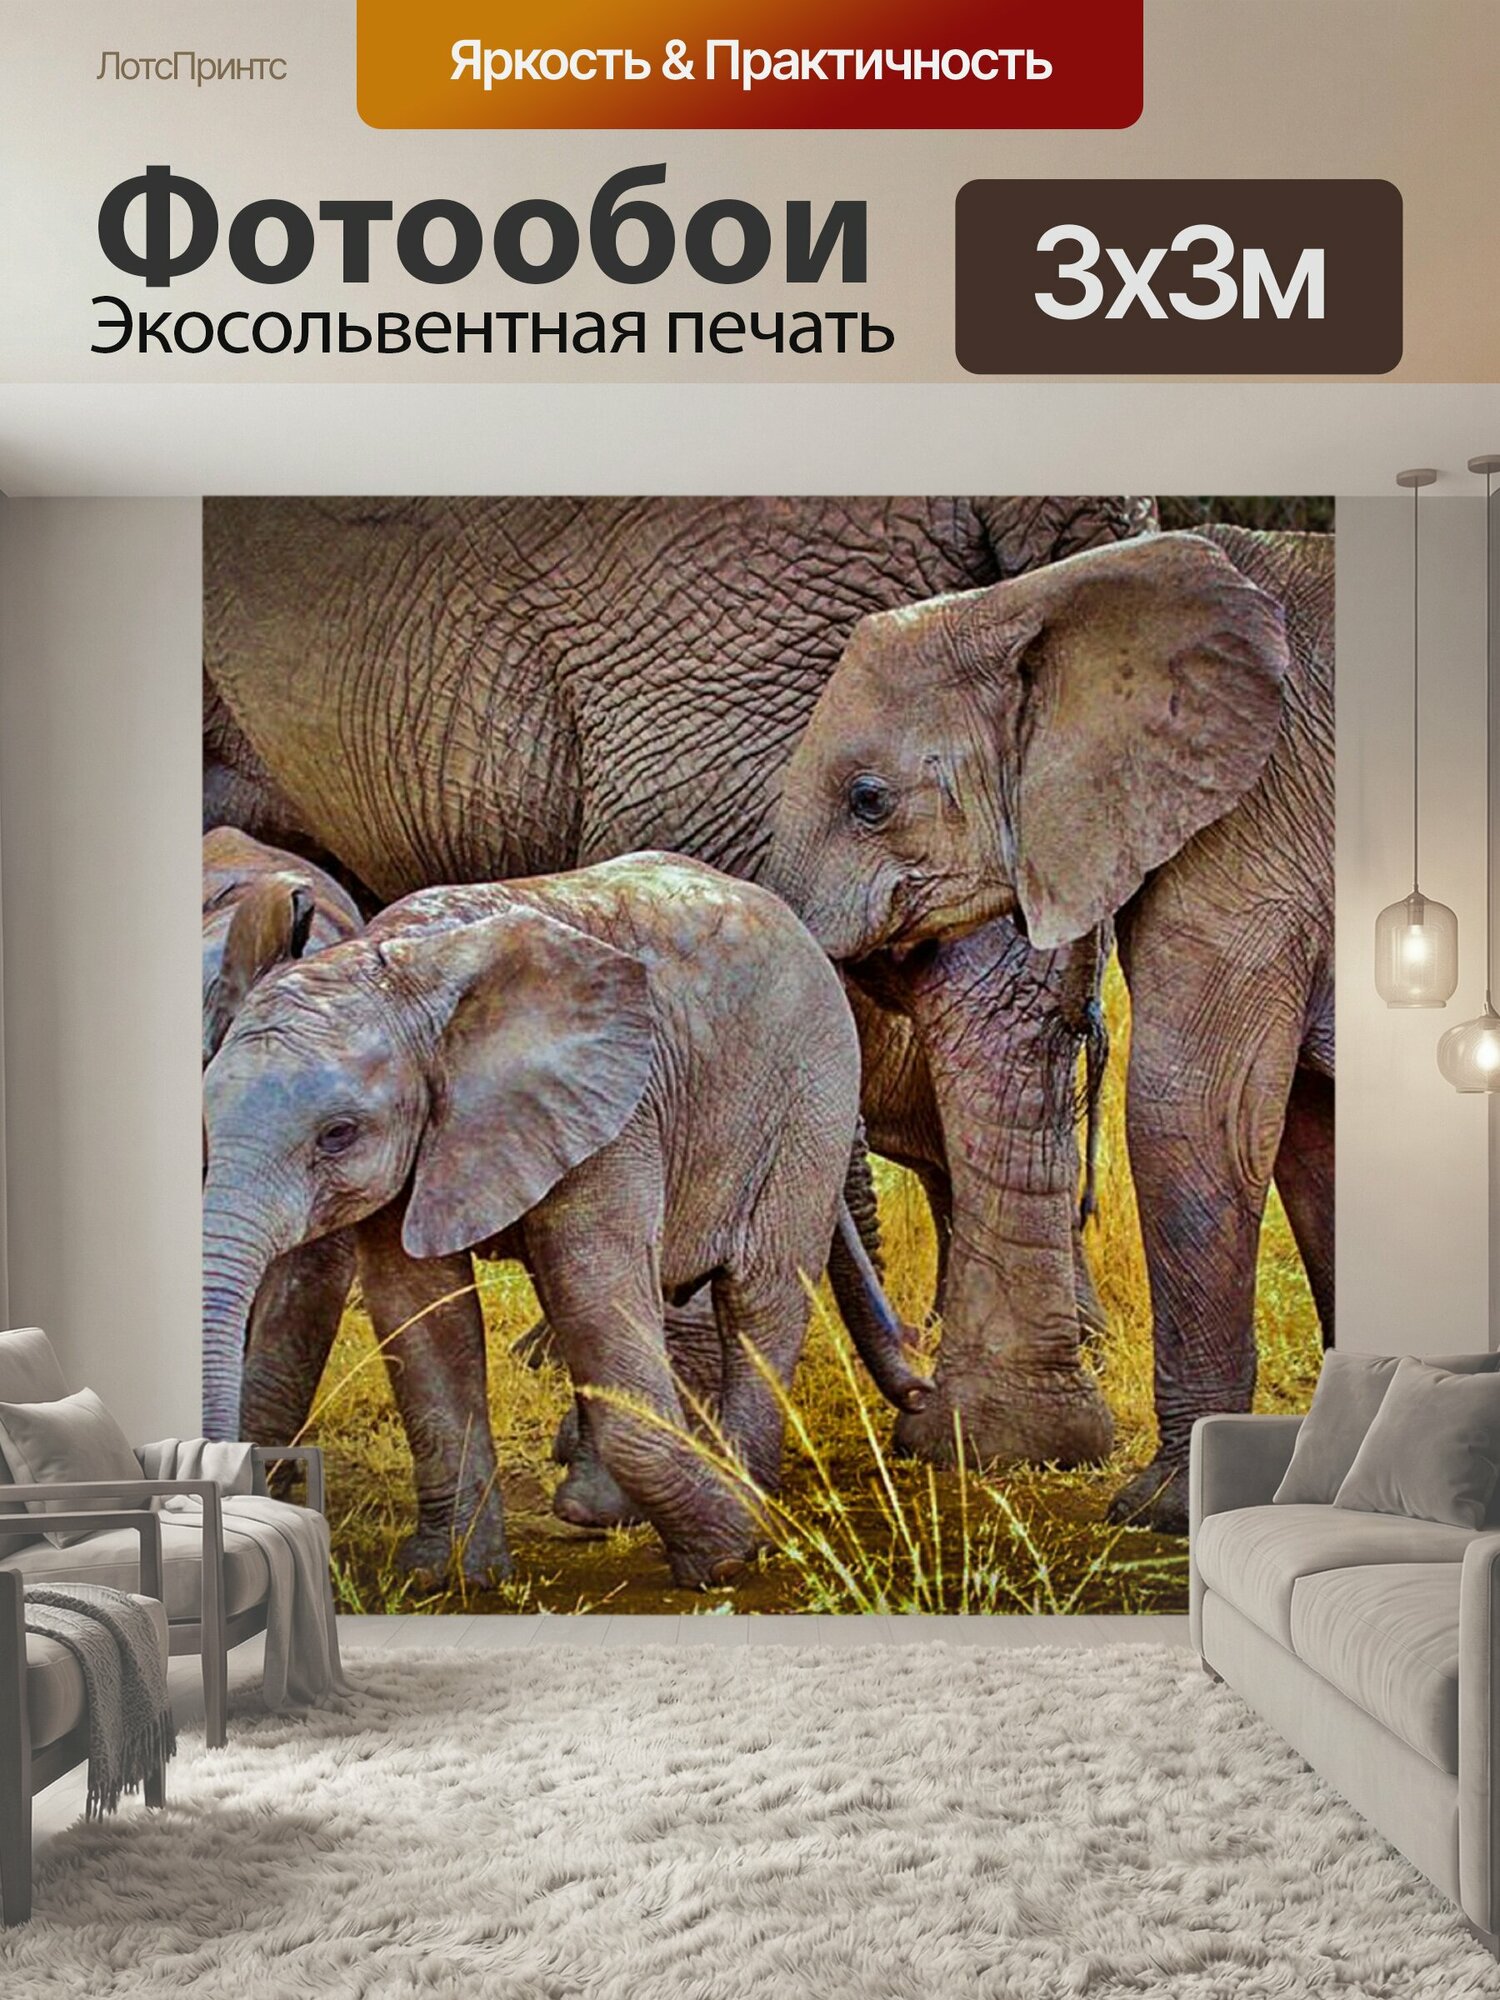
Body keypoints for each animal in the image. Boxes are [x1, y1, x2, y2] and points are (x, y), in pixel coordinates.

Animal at [202, 853, 929, 1588]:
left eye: (338, 1135)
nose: (924, 1394)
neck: (399, 964)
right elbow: (422, 1319)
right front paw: (449, 1577)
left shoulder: (617, 1111)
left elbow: (595, 1291)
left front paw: (723, 1552)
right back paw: (605, 1510)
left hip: (810, 1093)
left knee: (758, 1295)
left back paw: (746, 1508)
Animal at [766, 526, 1334, 1531]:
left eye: (869, 799)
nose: (915, 1397)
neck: (1035, 603)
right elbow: (1315, 1138)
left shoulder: (1256, 830)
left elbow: (1194, 1110)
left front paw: (1160, 1508)